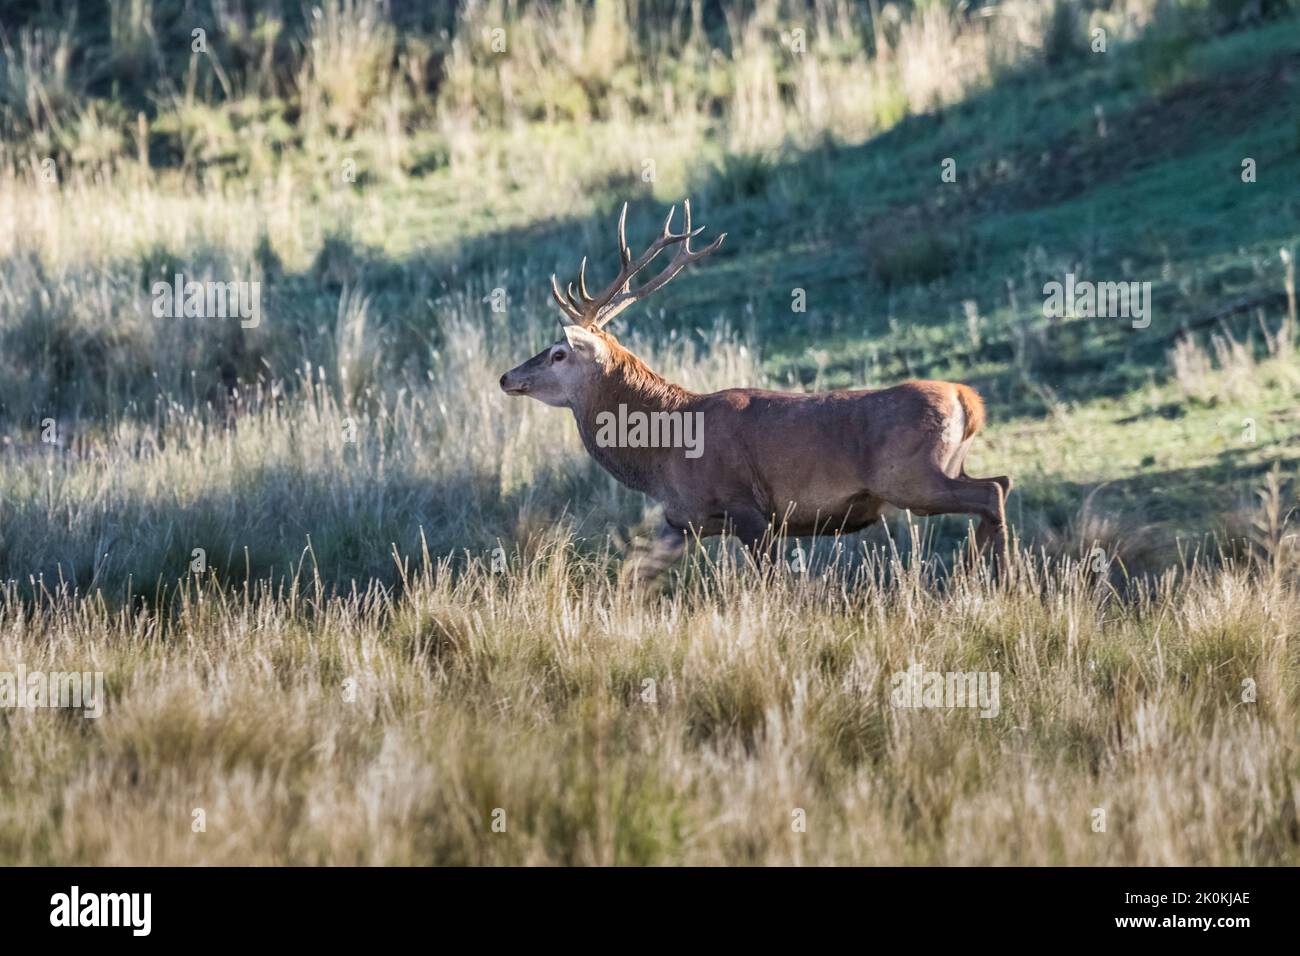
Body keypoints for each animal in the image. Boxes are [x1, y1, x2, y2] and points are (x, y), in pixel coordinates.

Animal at [499, 200, 1013, 586]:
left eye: (558, 353)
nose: (506, 377)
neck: (661, 452)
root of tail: (968, 401)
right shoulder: (683, 520)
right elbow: (631, 573)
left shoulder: (748, 508)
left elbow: (772, 586)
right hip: (944, 465)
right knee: (1000, 483)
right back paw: (972, 576)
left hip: (908, 475)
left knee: (991, 492)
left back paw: (999, 580)